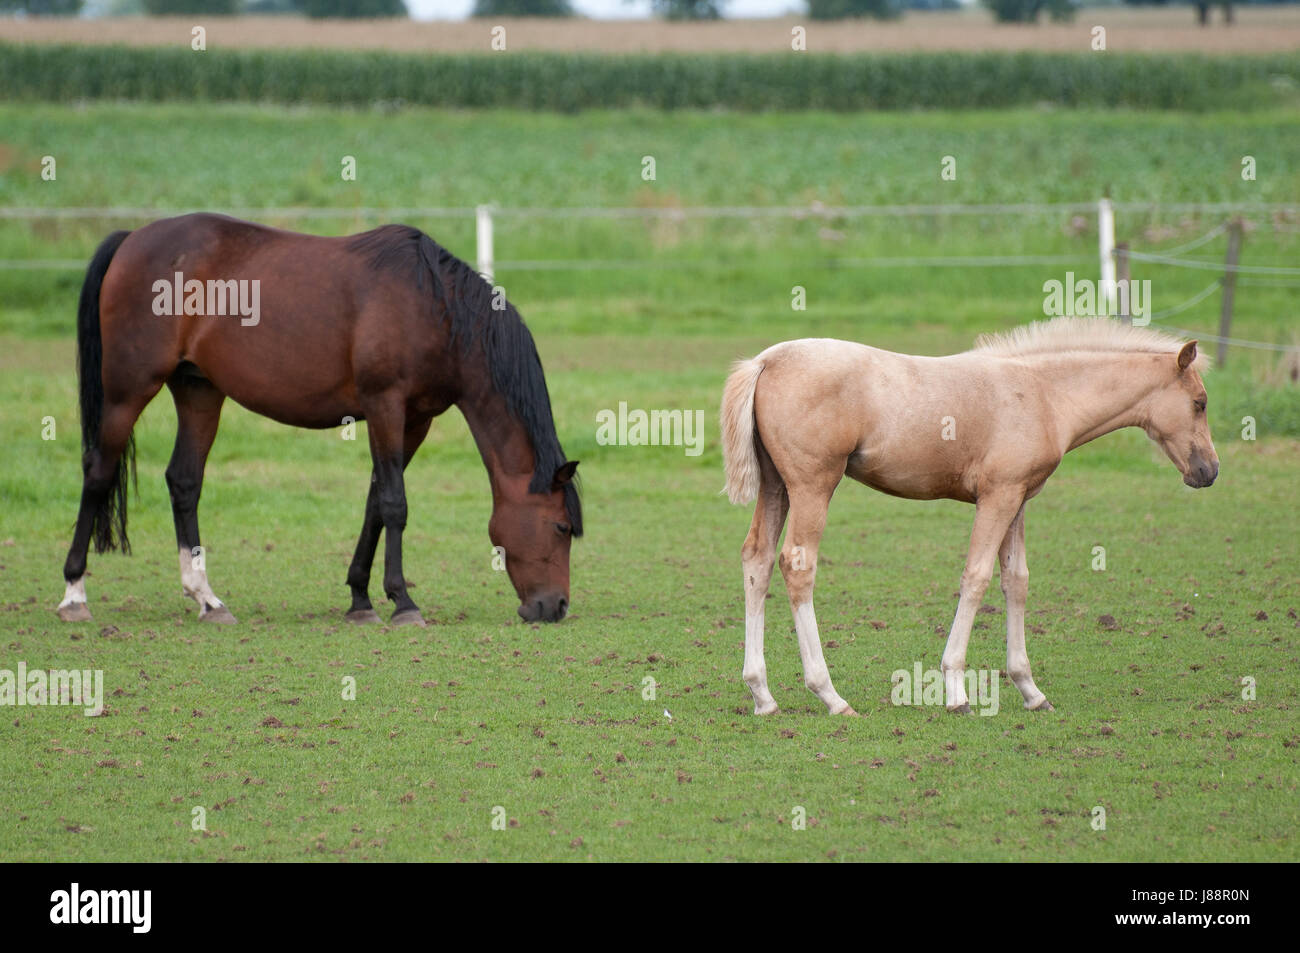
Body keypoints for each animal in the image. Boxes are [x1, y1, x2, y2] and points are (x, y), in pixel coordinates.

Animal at [56, 213, 581, 628]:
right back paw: (75, 594)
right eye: (560, 527)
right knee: (98, 472)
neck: (435, 309)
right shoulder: (385, 405)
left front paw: (360, 599)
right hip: (128, 391)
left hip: (198, 391)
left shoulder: (415, 420)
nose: (555, 607)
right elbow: (394, 504)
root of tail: (132, 238)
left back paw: (207, 600)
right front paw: (403, 602)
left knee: (184, 481)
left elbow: (374, 504)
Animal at [720, 317, 1217, 716]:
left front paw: (1031, 690)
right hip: (813, 486)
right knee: (797, 565)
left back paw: (763, 695)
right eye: (1200, 402)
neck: (1044, 394)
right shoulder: (997, 497)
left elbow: (1016, 581)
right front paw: (957, 691)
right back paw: (831, 696)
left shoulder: (1018, 500)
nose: (1209, 471)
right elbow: (976, 577)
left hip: (777, 487)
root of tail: (765, 361)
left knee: (756, 560)